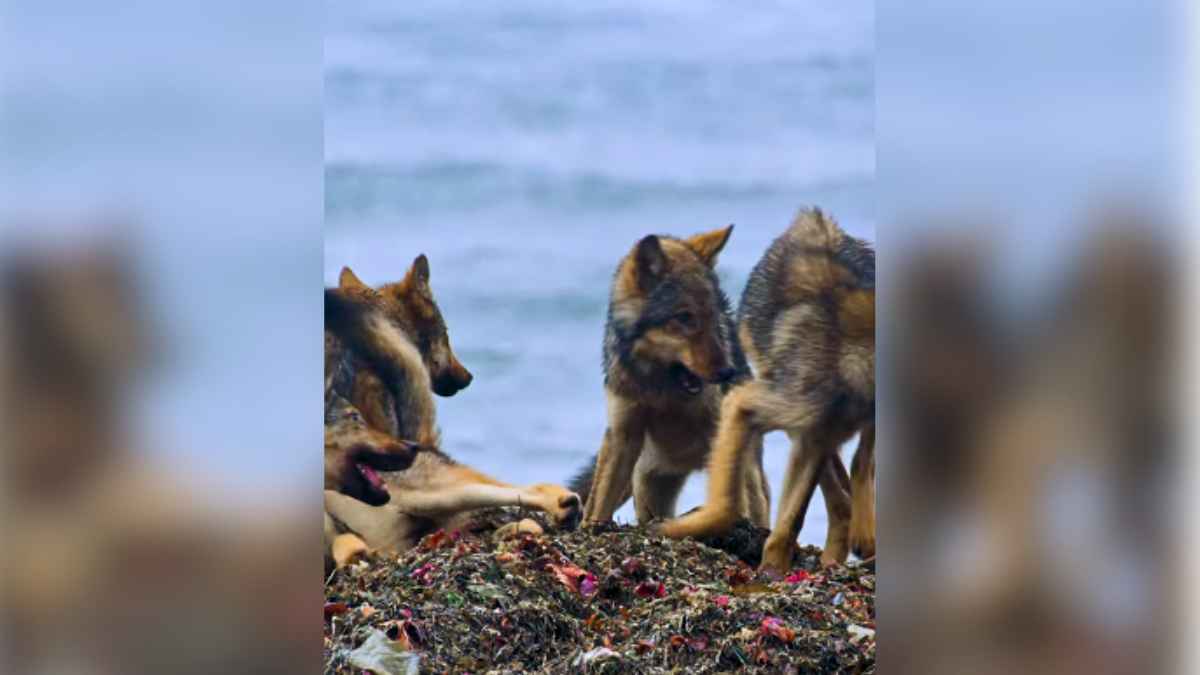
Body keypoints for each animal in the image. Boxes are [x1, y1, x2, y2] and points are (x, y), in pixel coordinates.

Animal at [570, 225, 776, 528]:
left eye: (714, 315)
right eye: (685, 317)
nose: (727, 372)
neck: (662, 388)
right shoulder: (622, 433)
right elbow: (598, 505)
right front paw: (591, 529)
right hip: (647, 487)